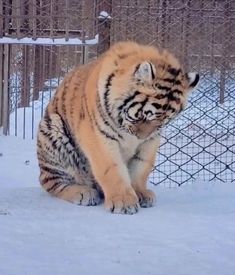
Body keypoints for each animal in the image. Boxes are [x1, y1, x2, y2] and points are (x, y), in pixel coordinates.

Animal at [37, 41, 199, 215]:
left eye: (162, 122)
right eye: (142, 116)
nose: (141, 137)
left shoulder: (151, 141)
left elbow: (141, 167)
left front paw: (140, 193)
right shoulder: (99, 136)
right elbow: (111, 168)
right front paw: (124, 202)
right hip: (54, 131)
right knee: (52, 182)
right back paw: (84, 193)